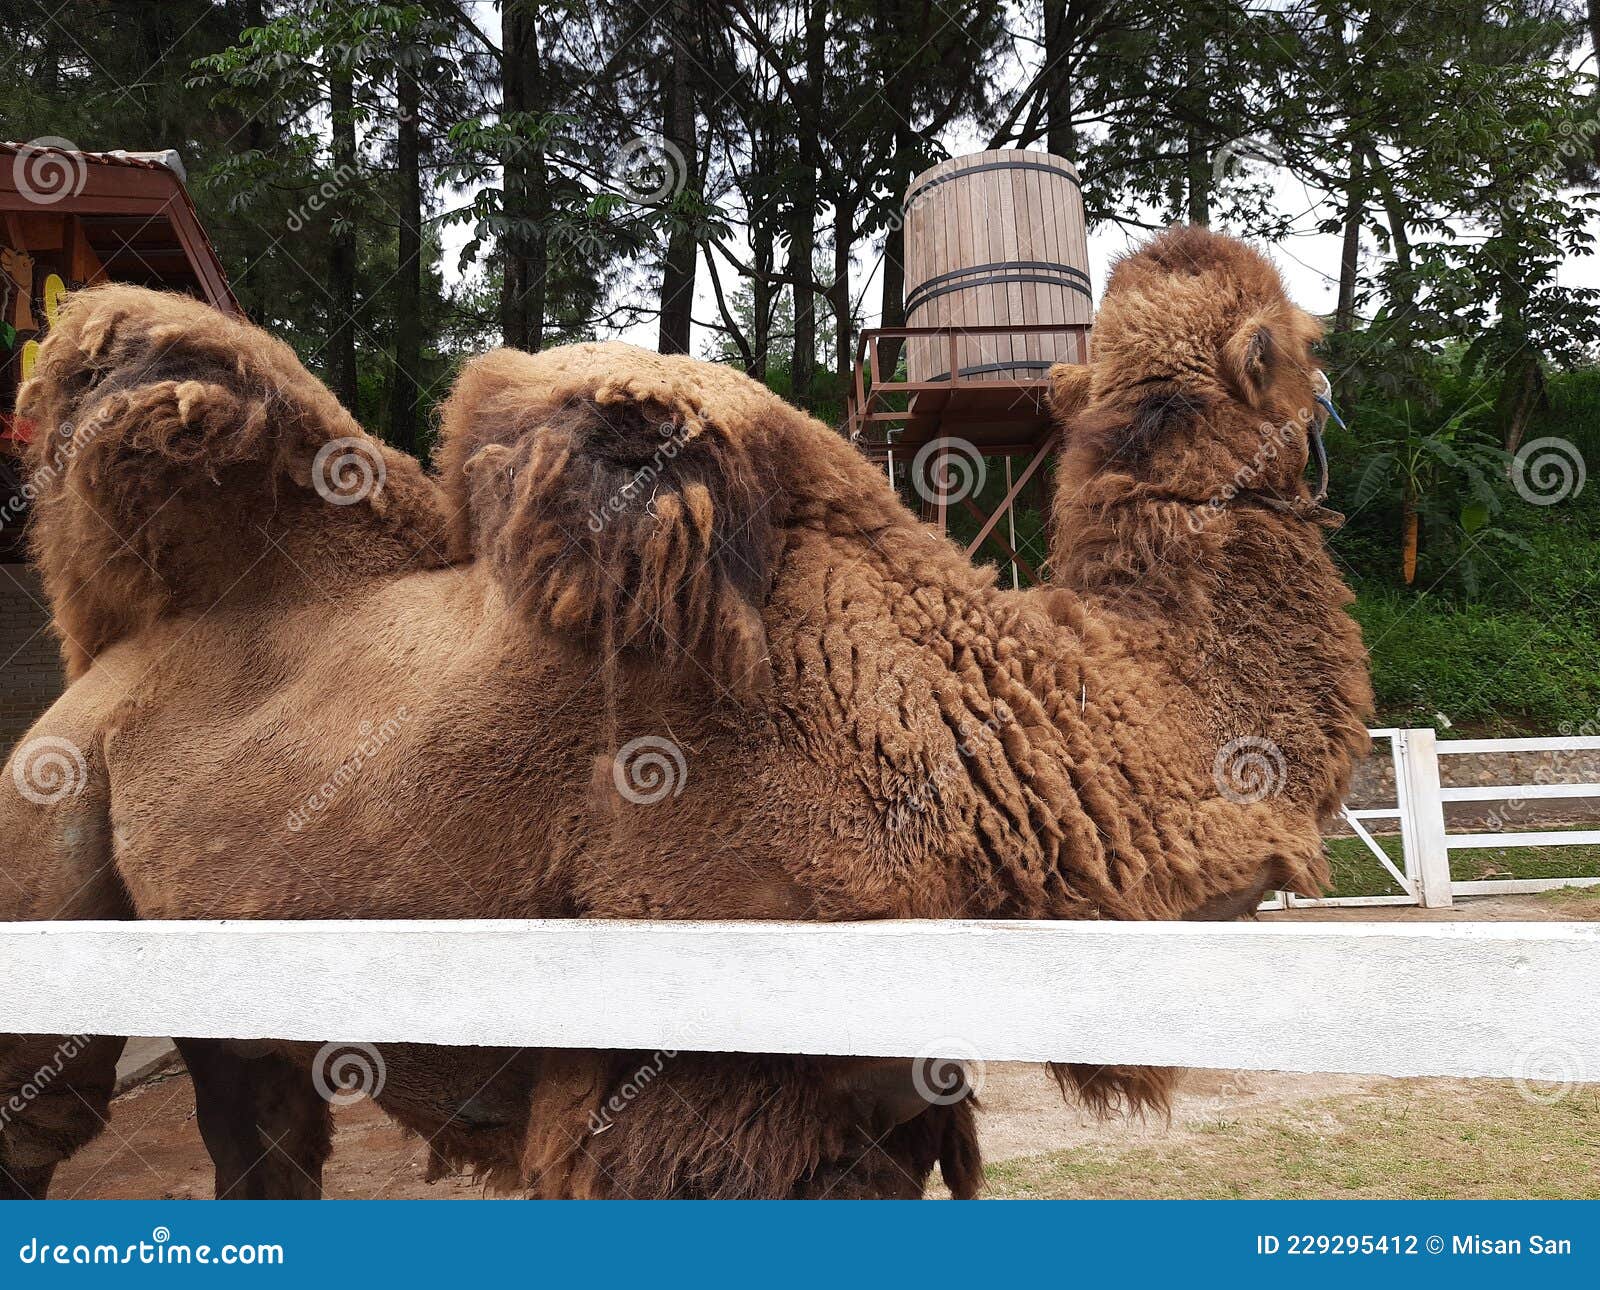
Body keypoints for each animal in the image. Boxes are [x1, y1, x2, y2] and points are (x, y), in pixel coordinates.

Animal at [0, 226, 1370, 1199]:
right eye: (1293, 348)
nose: (1334, 393)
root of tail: (95, 670)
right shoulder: (706, 1082)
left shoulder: (887, 1101)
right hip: (48, 856)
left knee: (263, 1137)